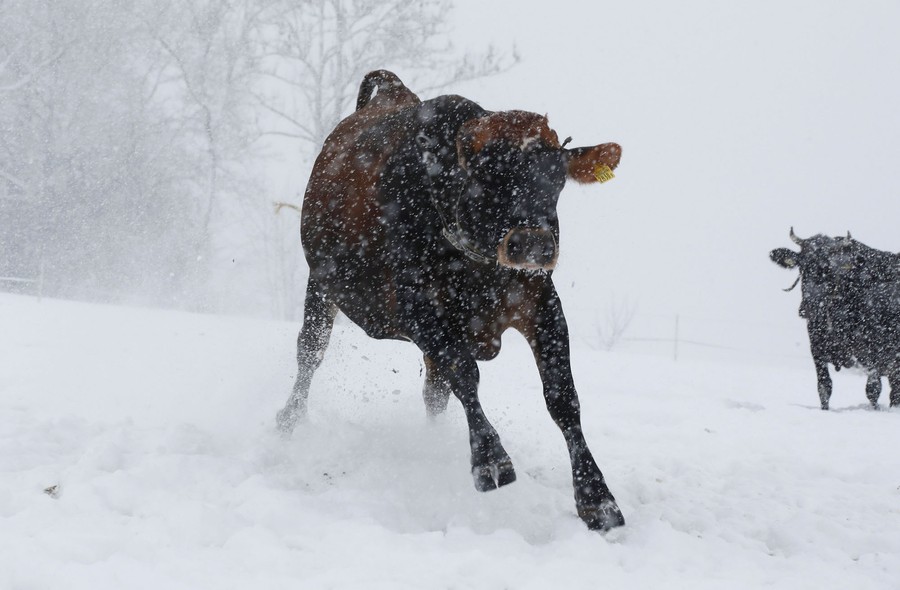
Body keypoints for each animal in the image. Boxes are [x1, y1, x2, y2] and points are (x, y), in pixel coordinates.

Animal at [275, 70, 625, 531]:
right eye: (487, 174)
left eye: (557, 177)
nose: (533, 244)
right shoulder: (417, 310)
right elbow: (466, 374)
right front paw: (491, 460)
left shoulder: (542, 304)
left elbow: (563, 397)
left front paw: (597, 498)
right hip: (321, 285)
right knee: (309, 353)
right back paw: (288, 422)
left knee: (434, 393)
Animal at [770, 228, 900, 410]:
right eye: (801, 267)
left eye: (829, 269)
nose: (808, 307)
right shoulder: (817, 348)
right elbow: (824, 387)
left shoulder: (875, 353)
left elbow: (873, 389)